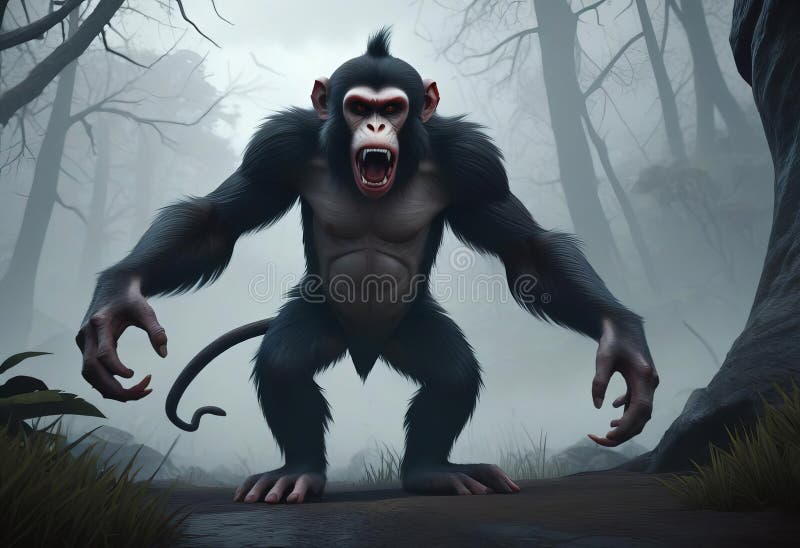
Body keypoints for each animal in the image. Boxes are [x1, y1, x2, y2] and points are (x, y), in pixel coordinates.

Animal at [76, 29, 658, 504]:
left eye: (394, 107)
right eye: (357, 106)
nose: (376, 123)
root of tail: (365, 351)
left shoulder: (475, 164)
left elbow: (528, 250)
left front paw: (622, 340)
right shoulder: (276, 149)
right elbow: (216, 220)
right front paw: (119, 298)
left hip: (411, 326)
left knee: (451, 376)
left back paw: (430, 470)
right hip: (319, 316)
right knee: (284, 364)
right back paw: (299, 471)